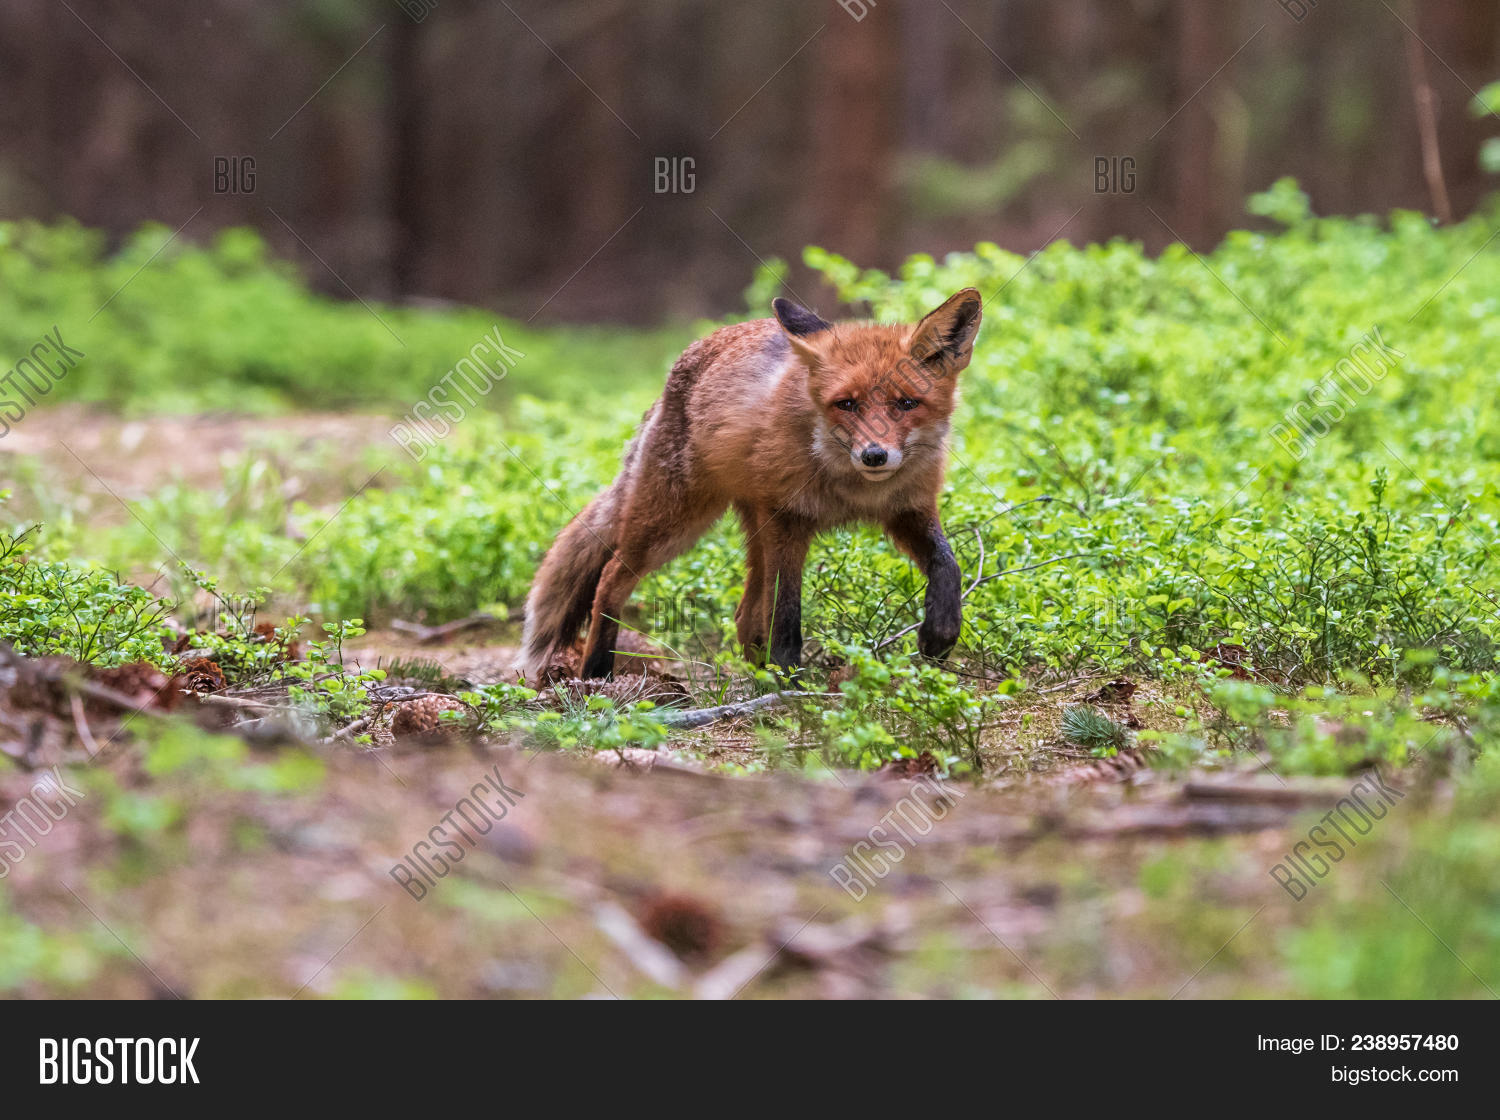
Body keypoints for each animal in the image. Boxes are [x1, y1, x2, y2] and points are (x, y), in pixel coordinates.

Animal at [517, 287, 983, 681]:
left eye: (906, 403)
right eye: (846, 404)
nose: (874, 455)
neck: (856, 490)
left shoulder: (909, 508)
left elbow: (948, 566)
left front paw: (940, 635)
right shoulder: (789, 521)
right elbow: (786, 615)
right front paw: (793, 687)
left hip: (746, 527)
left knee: (743, 615)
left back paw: (758, 675)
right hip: (675, 524)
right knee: (610, 580)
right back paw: (596, 674)